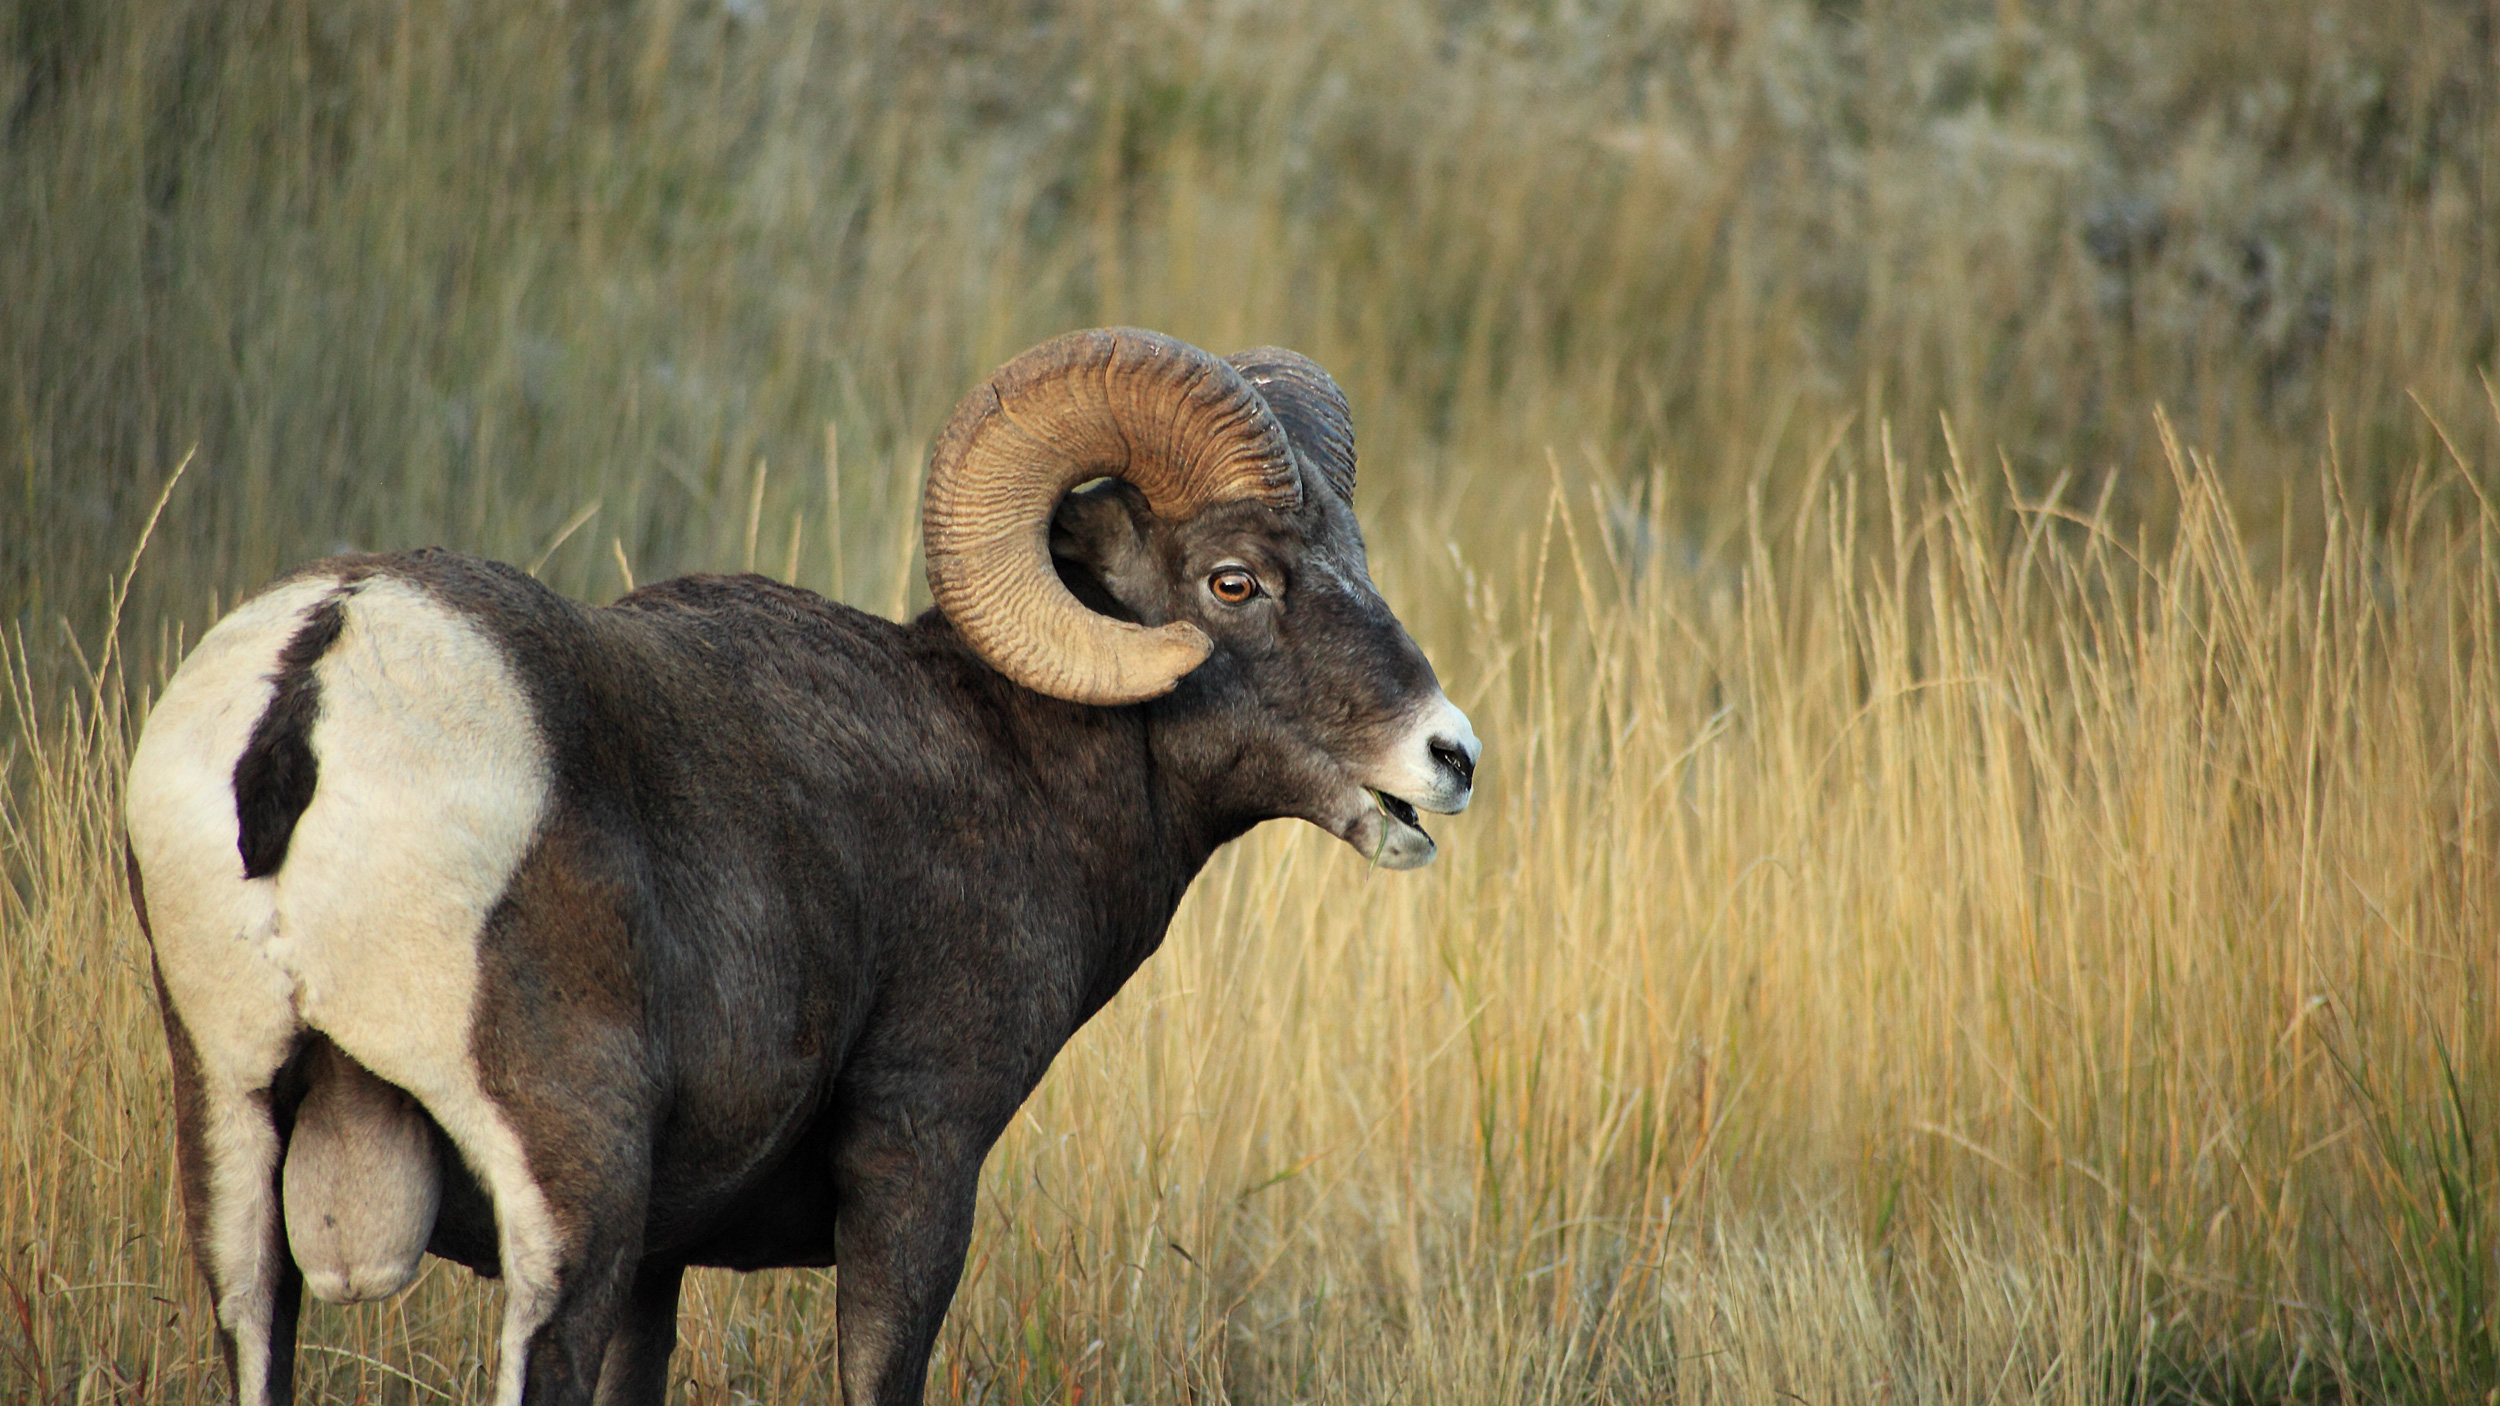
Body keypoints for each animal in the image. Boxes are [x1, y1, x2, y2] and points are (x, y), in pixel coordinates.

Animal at [122, 328, 1480, 1406]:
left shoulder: (661, 1263)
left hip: (238, 1163)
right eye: (1233, 580)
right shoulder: (915, 1160)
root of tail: (317, 675)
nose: (1450, 754)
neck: (1004, 766)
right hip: (567, 1190)